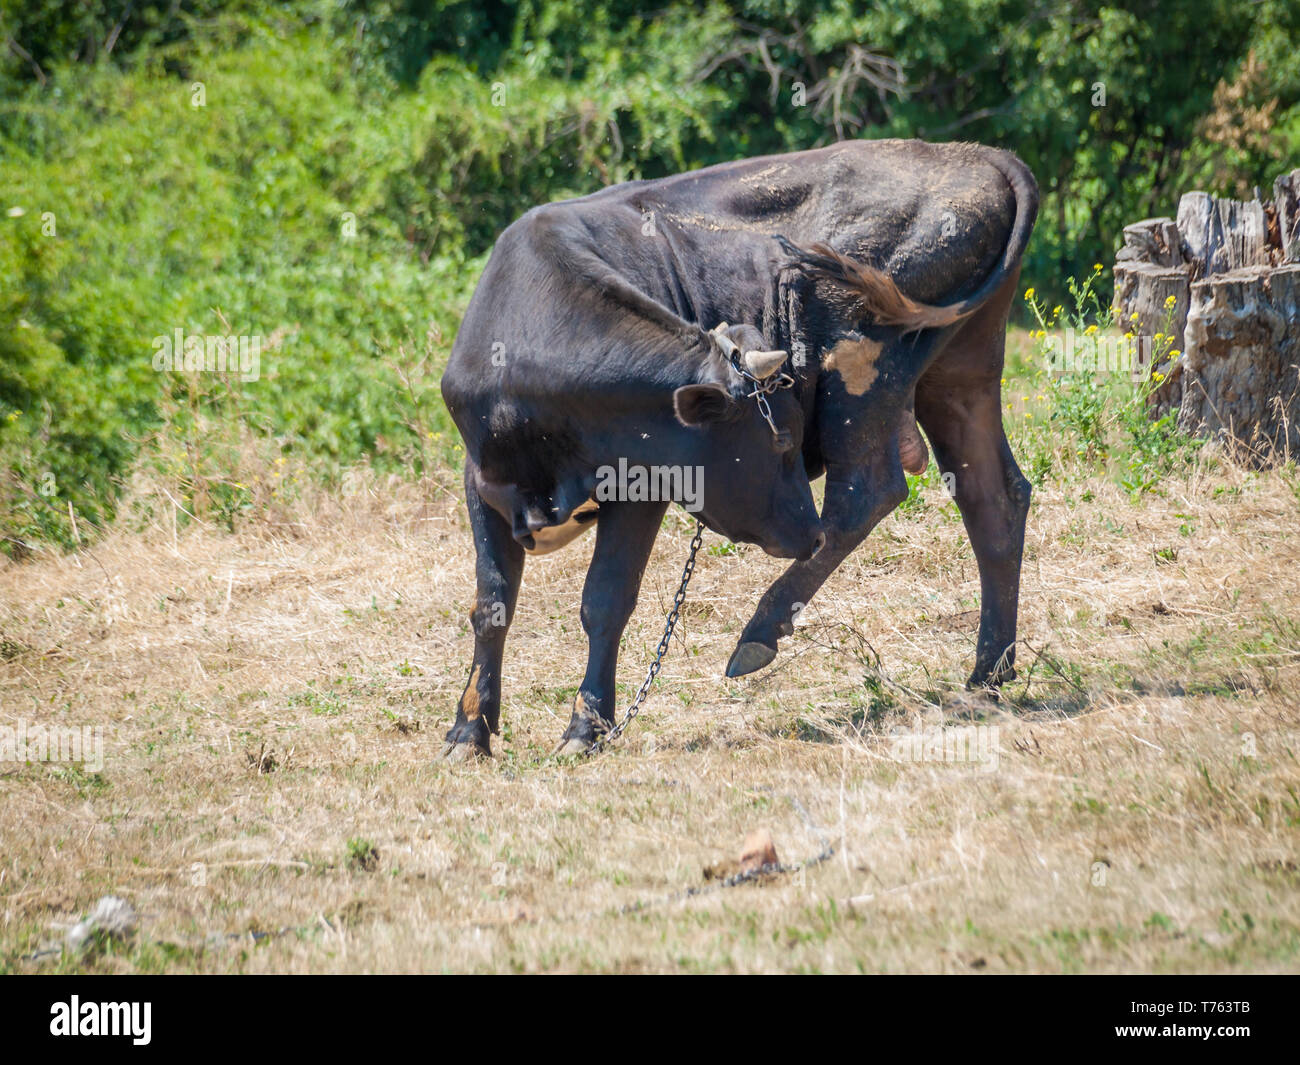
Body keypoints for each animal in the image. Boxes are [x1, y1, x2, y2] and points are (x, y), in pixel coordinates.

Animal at [440, 137, 1038, 757]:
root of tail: (977, 156)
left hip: (862, 374)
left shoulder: (643, 487)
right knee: (993, 500)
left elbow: (605, 599)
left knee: (866, 495)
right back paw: (987, 676)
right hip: (959, 374)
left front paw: (586, 726)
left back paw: (761, 630)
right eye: (780, 440)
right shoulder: (481, 480)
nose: (807, 533)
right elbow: (491, 604)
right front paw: (469, 730)